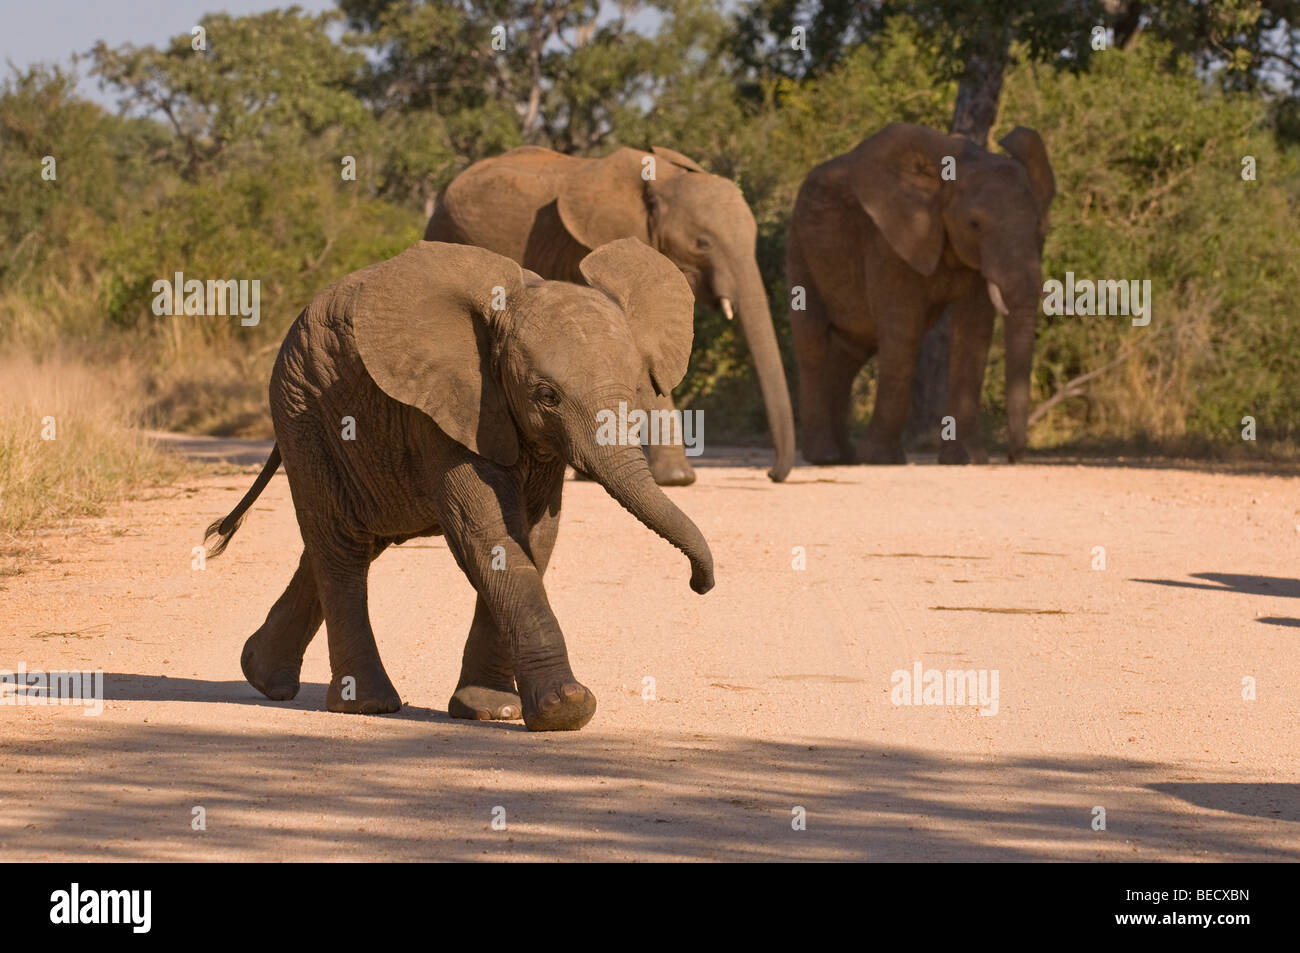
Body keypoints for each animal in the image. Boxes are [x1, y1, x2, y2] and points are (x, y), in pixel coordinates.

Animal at [202, 238, 715, 732]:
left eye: (637, 388)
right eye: (546, 396)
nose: (699, 585)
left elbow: (535, 538)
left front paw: (493, 710)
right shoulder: (447, 404)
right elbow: (490, 535)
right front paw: (566, 709)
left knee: (355, 539)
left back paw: (262, 675)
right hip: (303, 409)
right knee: (341, 545)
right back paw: (366, 704)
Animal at [787, 122, 1055, 465]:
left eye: (1038, 226)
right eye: (974, 224)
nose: (1012, 457)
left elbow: (975, 333)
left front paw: (966, 460)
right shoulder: (888, 239)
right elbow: (903, 331)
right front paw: (882, 459)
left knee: (851, 349)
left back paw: (845, 456)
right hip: (799, 247)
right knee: (812, 341)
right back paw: (825, 456)